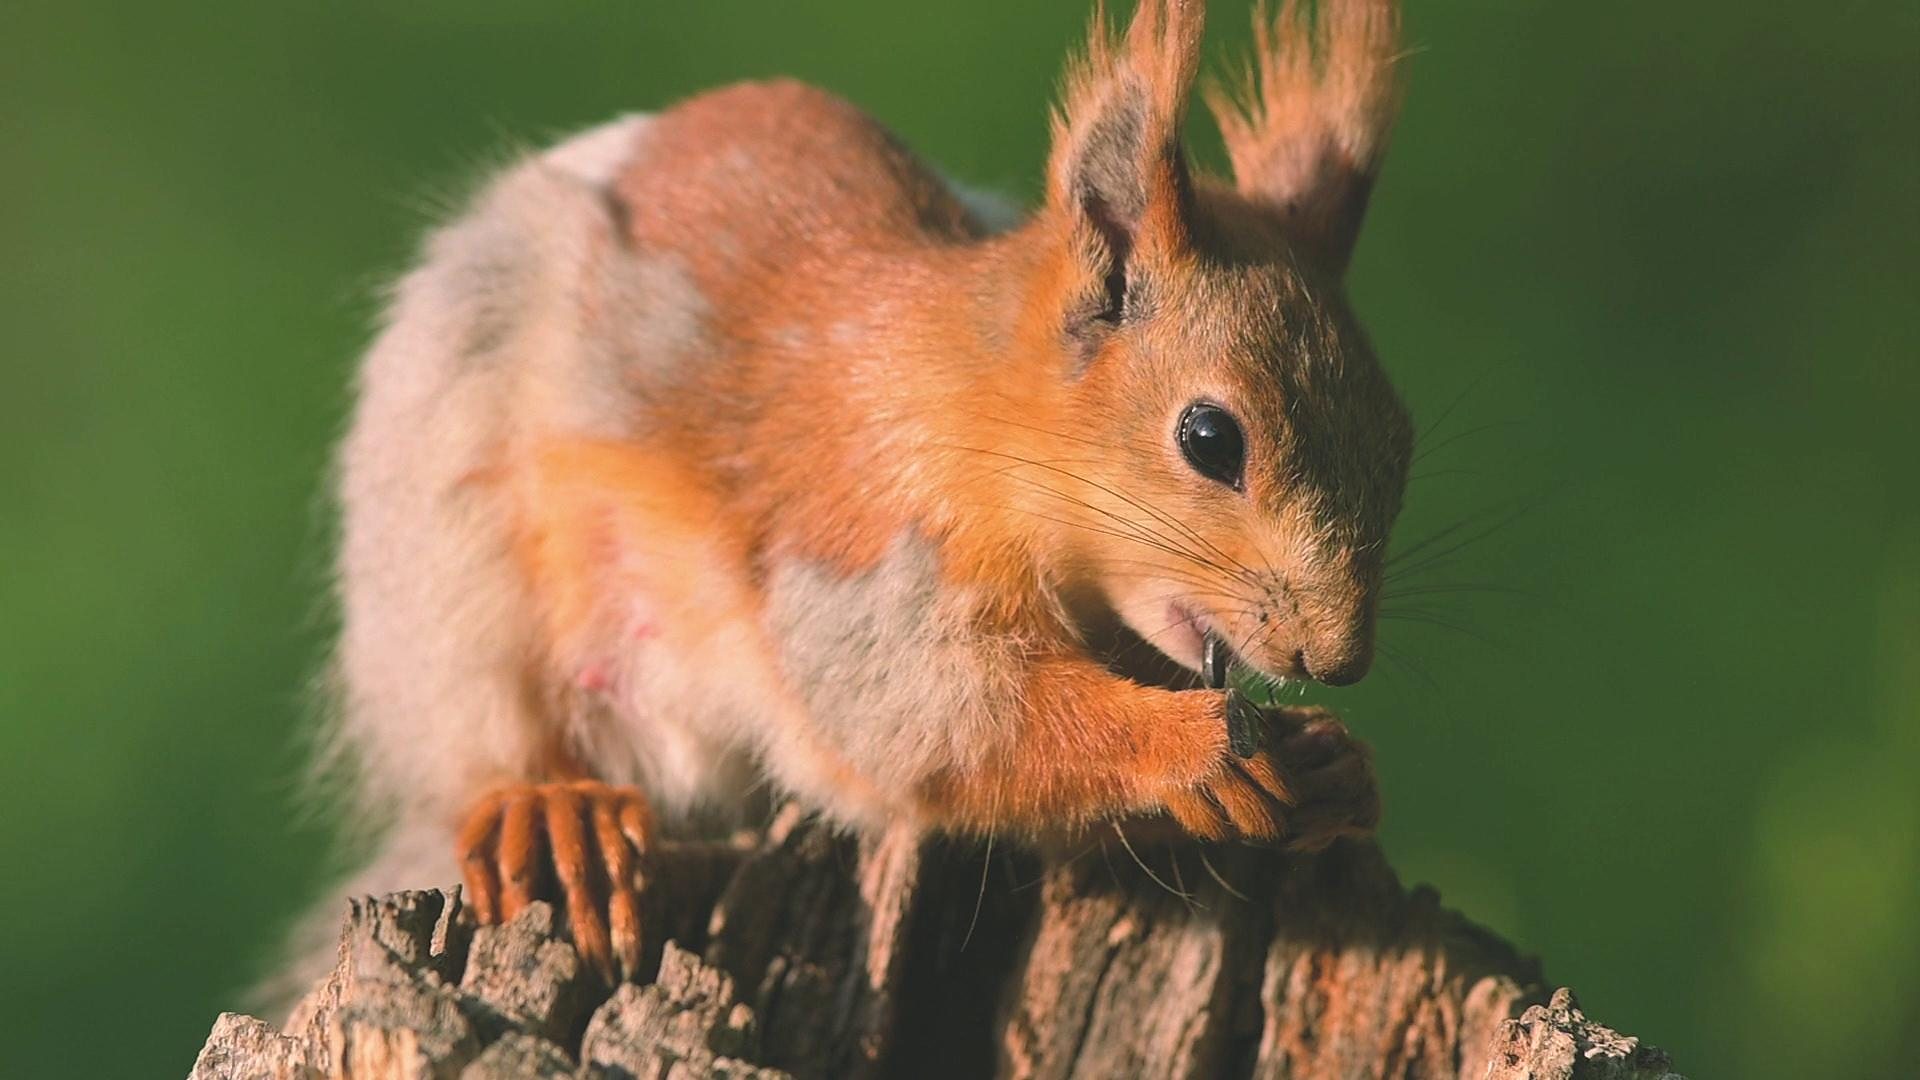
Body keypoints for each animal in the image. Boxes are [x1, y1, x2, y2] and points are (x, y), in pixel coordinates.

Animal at [315, 0, 1411, 987]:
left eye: (1401, 443)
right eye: (1209, 438)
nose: (1339, 659)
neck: (974, 421)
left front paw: (1334, 767)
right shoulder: (857, 556)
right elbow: (927, 723)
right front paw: (1192, 745)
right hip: (444, 527)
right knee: (479, 727)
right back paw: (551, 810)